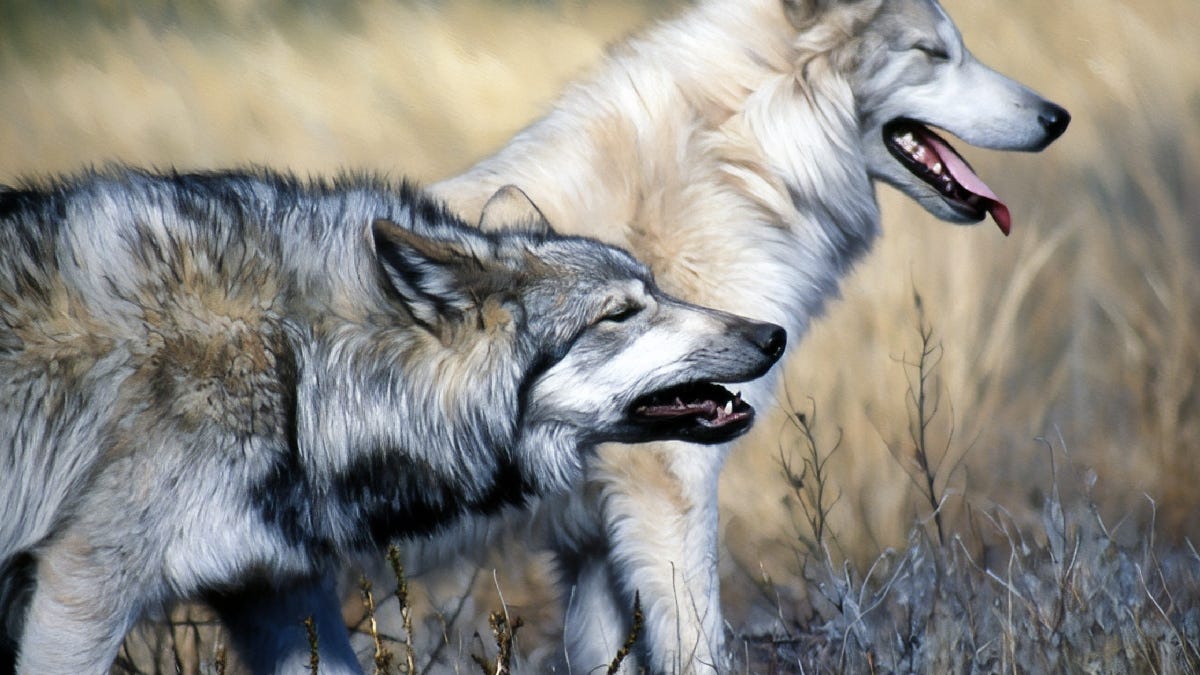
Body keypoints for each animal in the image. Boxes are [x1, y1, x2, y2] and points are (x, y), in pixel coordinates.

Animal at [0, 167, 786, 673]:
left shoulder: (273, 590)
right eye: (620, 313)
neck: (298, 363)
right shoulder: (81, 584)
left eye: (657, 289)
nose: (774, 334)